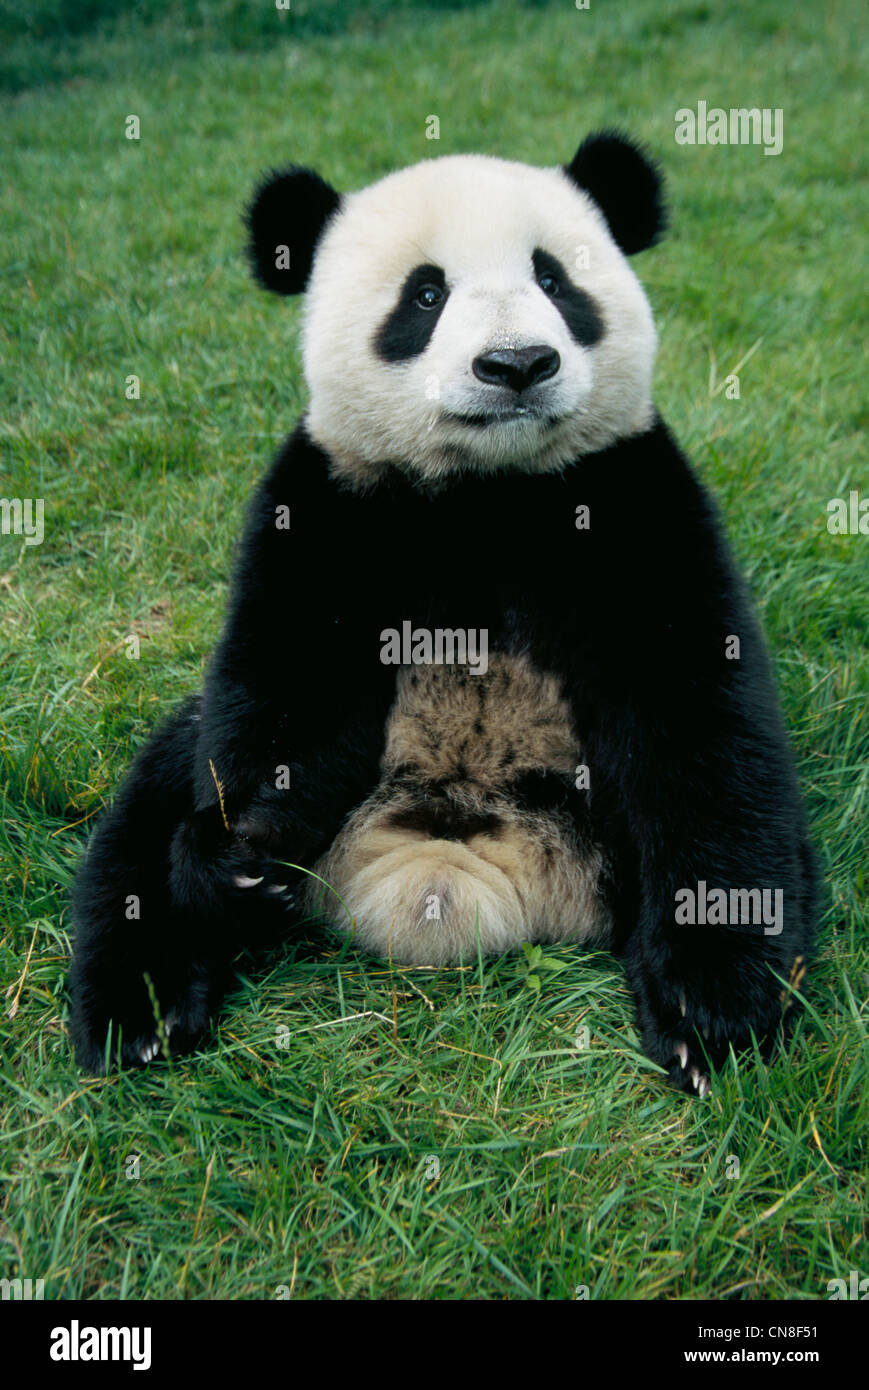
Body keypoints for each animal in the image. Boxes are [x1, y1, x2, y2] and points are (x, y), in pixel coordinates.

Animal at [68, 131, 817, 1093]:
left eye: (553, 282)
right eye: (425, 295)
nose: (516, 365)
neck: (483, 491)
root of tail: (460, 865)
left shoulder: (629, 491)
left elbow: (695, 712)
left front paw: (713, 1007)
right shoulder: (330, 496)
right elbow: (281, 680)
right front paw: (246, 856)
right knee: (148, 816)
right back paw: (144, 1009)